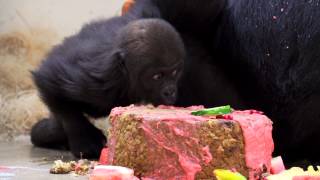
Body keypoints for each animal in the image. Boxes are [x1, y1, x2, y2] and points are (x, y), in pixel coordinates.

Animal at [31, 18, 186, 158]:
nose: (170, 92)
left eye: (174, 72)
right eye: (157, 76)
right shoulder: (96, 80)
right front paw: (83, 139)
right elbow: (48, 77)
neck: (124, 75)